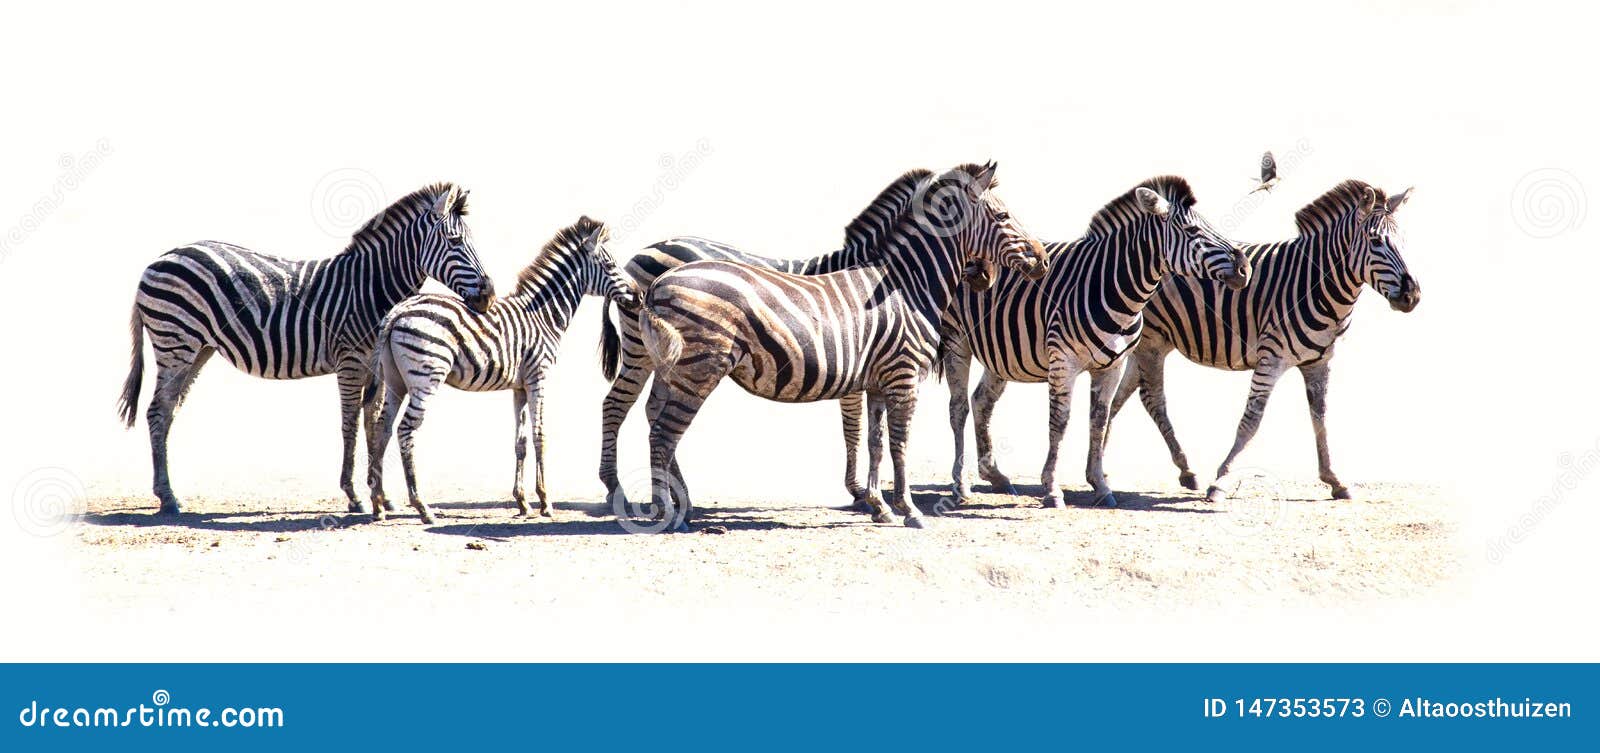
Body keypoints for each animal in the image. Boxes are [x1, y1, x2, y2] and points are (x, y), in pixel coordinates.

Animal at [117, 183, 494, 514]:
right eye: (455, 241)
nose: (489, 295)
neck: (370, 286)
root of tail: (159, 260)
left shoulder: (376, 364)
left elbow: (373, 423)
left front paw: (383, 498)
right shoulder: (350, 360)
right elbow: (349, 423)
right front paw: (354, 496)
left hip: (197, 349)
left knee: (168, 410)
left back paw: (167, 493)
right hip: (175, 342)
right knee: (157, 410)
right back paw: (169, 499)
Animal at [366, 217, 641, 524]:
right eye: (610, 265)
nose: (640, 295)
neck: (543, 316)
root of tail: (398, 311)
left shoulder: (519, 386)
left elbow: (520, 441)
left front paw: (522, 502)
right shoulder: (537, 377)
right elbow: (540, 436)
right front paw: (545, 502)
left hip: (396, 381)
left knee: (383, 427)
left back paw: (378, 503)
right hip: (427, 377)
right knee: (406, 429)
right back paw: (422, 506)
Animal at [635, 162, 1048, 532]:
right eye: (1003, 215)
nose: (1042, 260)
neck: (907, 284)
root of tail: (659, 284)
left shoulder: (877, 381)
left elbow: (875, 442)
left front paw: (880, 506)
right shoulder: (903, 375)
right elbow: (899, 443)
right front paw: (909, 510)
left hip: (671, 369)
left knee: (654, 422)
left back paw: (673, 508)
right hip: (699, 369)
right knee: (663, 435)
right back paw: (669, 514)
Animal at [938, 176, 1251, 509]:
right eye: (1192, 231)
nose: (1245, 268)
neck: (1114, 288)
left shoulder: (1113, 366)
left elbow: (1099, 421)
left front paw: (1101, 485)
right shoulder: (1063, 362)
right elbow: (1060, 422)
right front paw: (1052, 488)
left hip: (1002, 354)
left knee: (981, 401)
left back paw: (996, 476)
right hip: (956, 340)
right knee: (958, 407)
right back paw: (961, 485)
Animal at [1107, 180, 1420, 502]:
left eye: (1404, 241)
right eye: (1376, 241)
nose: (1412, 296)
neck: (1313, 283)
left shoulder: (1319, 361)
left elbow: (1320, 419)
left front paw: (1334, 479)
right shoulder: (1272, 357)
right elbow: (1251, 421)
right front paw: (1222, 481)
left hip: (1148, 342)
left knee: (1122, 396)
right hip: (1153, 342)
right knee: (1152, 399)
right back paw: (1181, 469)